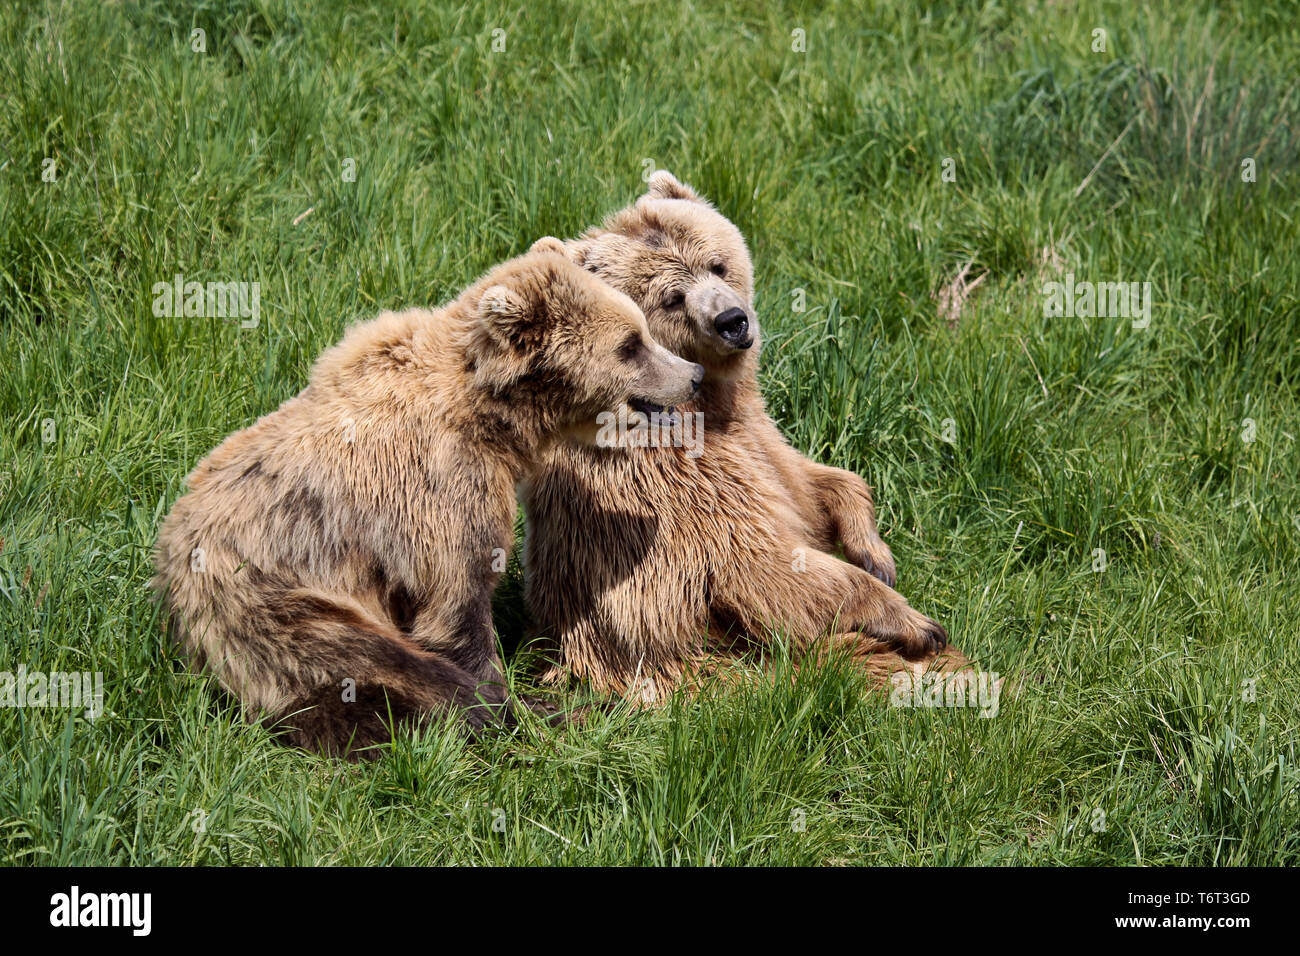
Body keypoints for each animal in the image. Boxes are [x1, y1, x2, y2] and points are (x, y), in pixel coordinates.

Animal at [153, 240, 703, 756]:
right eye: (630, 344)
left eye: (642, 331)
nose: (693, 375)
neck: (493, 420)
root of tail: (170, 567)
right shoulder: (437, 489)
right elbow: (457, 604)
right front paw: (509, 698)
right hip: (271, 597)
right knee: (374, 661)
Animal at [522, 173, 970, 702]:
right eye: (671, 297)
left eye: (717, 264)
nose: (733, 321)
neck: (705, 400)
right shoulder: (669, 481)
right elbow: (761, 563)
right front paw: (917, 622)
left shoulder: (753, 431)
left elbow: (812, 483)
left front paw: (874, 553)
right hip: (701, 657)